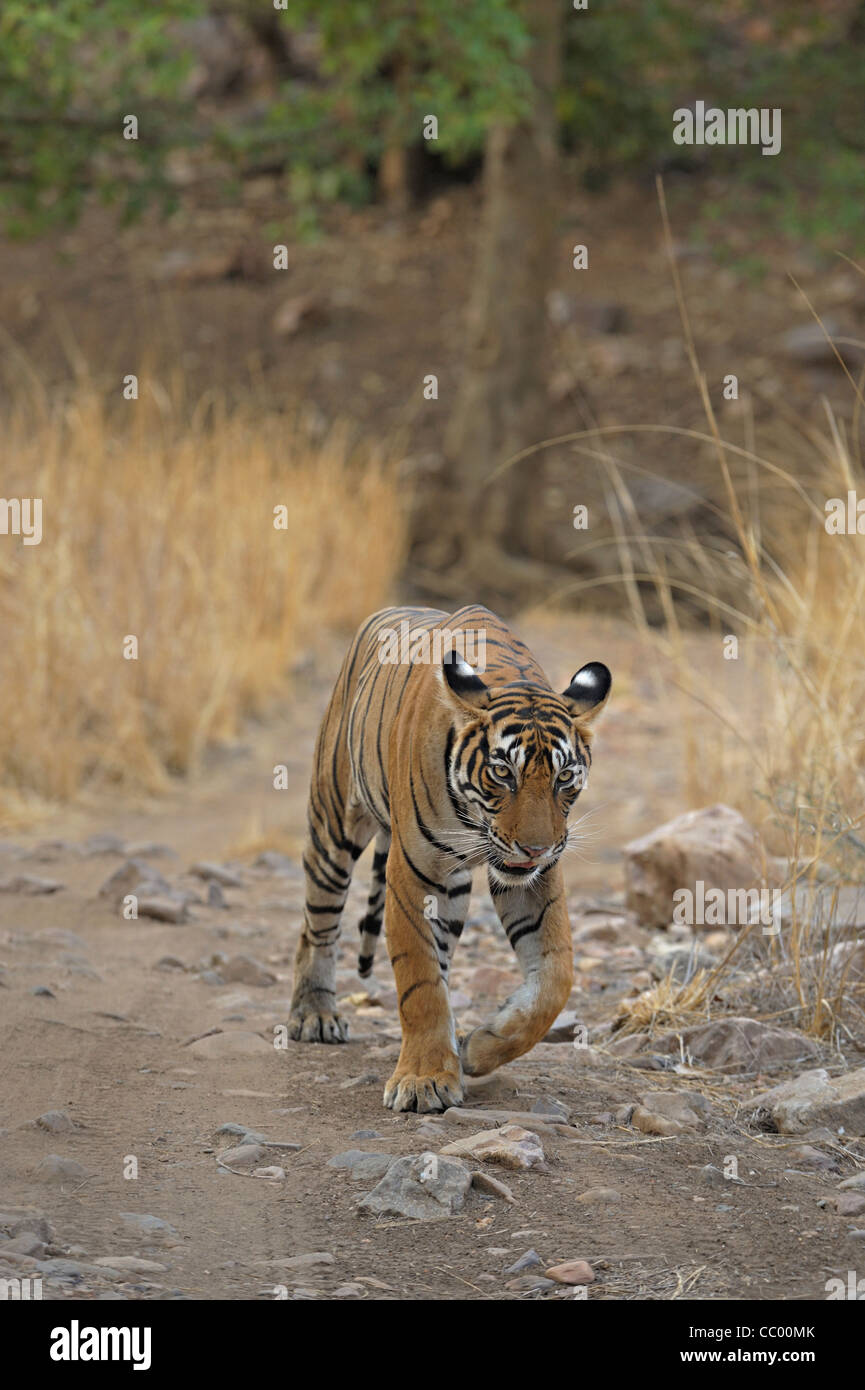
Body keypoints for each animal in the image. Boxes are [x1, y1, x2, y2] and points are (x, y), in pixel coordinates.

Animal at [288, 604, 611, 1113]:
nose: (535, 848)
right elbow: (419, 981)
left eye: (564, 778)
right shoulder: (413, 873)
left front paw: (478, 1048)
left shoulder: (537, 881)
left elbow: (556, 978)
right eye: (502, 772)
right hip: (333, 822)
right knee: (318, 925)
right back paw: (315, 1014)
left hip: (452, 889)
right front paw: (423, 1080)